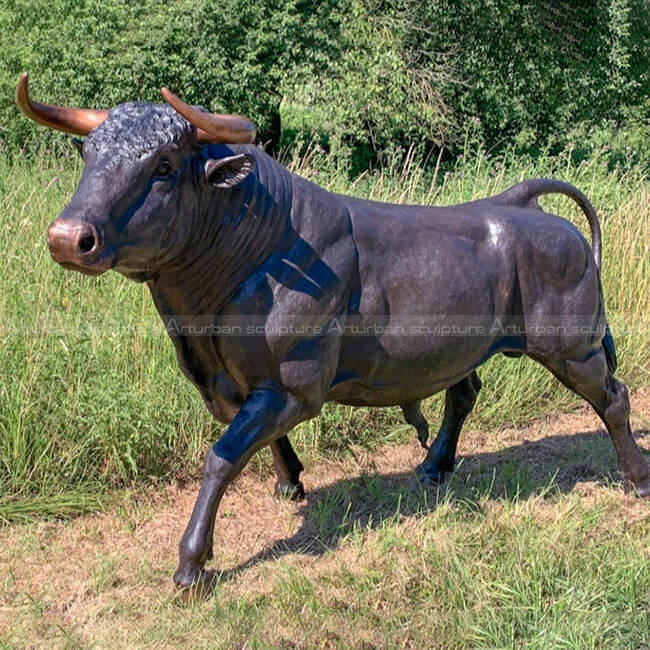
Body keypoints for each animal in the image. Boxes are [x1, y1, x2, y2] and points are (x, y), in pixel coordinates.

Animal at [16, 73, 650, 596]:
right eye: (89, 155)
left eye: (165, 166)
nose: (68, 236)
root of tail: (519, 204)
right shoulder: (243, 380)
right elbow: (256, 441)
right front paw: (289, 484)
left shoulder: (296, 385)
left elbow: (221, 457)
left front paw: (192, 564)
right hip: (463, 347)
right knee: (464, 394)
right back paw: (434, 466)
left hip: (575, 346)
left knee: (614, 399)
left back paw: (636, 480)